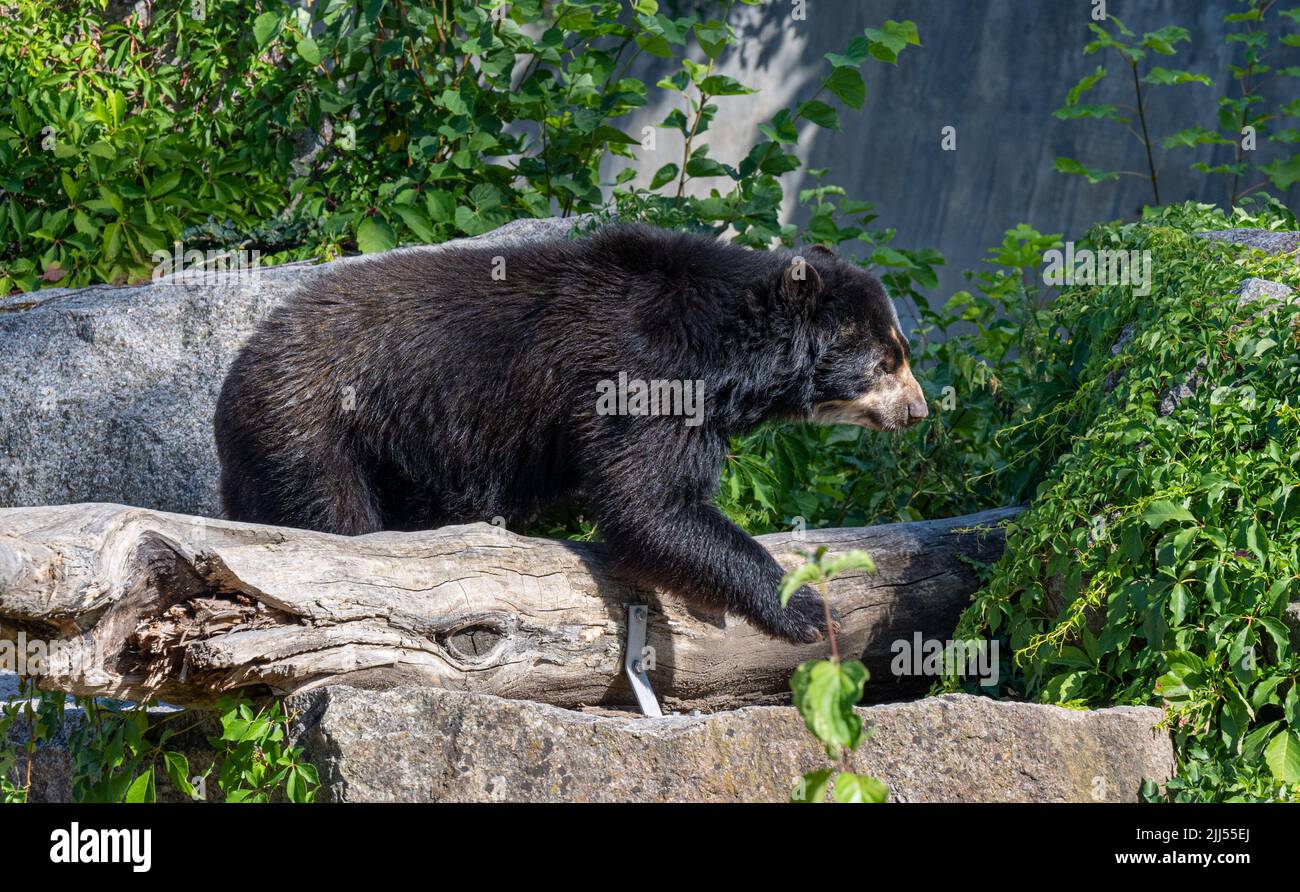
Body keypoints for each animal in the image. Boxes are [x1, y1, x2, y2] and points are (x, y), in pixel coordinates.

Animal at [213, 223, 928, 643]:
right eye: (888, 358)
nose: (919, 410)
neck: (727, 356)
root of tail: (236, 375)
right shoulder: (644, 371)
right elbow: (652, 503)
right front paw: (804, 609)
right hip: (316, 426)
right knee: (331, 517)